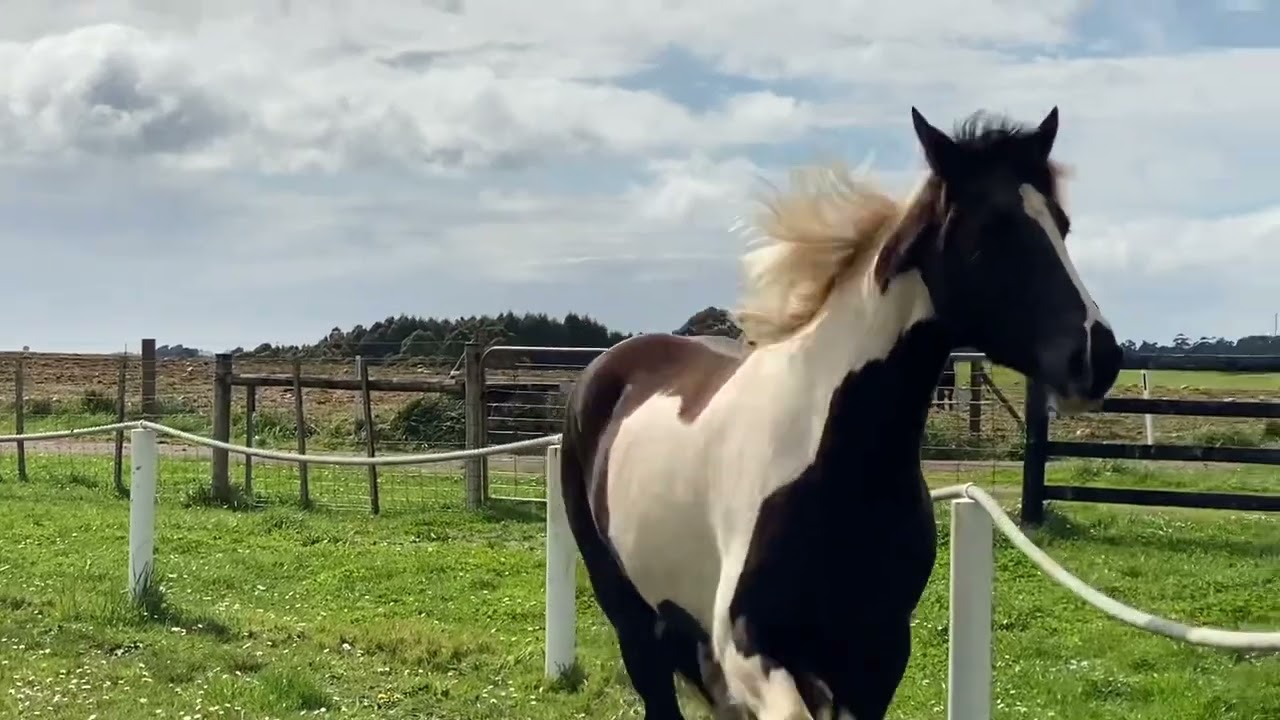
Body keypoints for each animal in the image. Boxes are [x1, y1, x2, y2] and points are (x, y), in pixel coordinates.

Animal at [559, 106, 1122, 720]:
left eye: (1062, 224)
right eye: (992, 227)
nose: (1098, 357)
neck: (836, 463)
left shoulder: (877, 657)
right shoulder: (747, 648)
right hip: (630, 617)